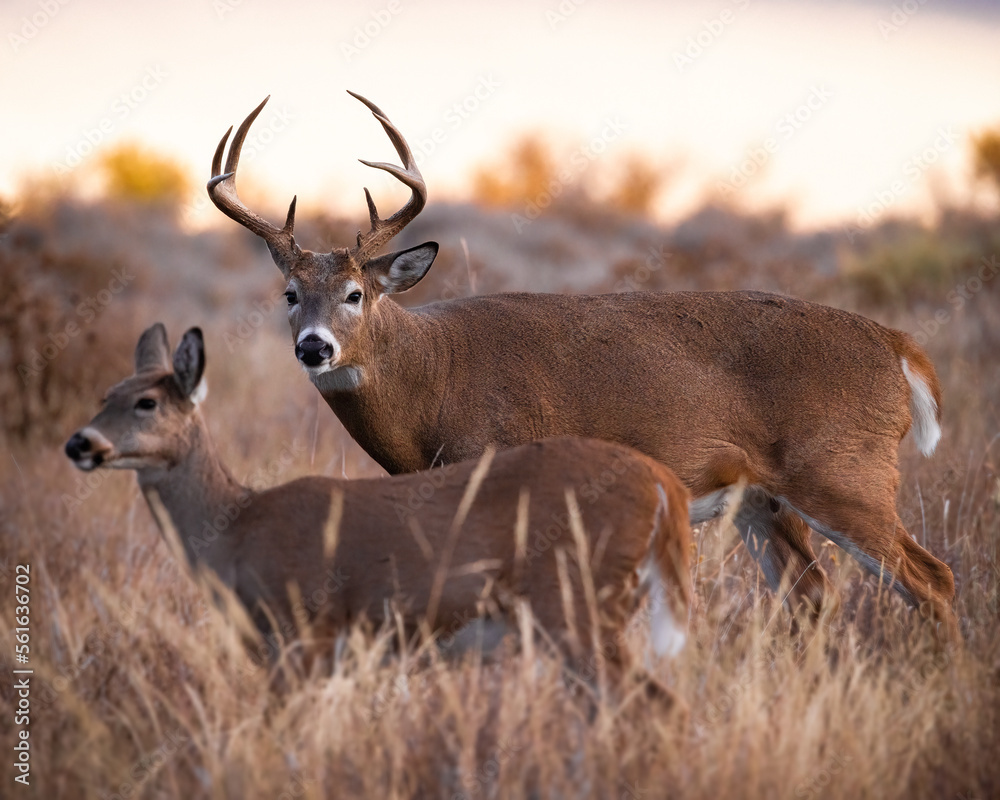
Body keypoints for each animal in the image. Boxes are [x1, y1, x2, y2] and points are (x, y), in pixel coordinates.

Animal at [64, 324, 693, 692]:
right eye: (105, 395)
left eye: (147, 403)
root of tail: (662, 485)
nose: (79, 443)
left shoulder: (303, 631)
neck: (236, 526)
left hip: (578, 601)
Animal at [206, 92, 958, 643]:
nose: (314, 347)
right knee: (813, 594)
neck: (433, 380)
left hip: (844, 472)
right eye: (290, 294)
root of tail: (899, 347)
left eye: (356, 294)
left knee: (932, 579)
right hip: (765, 500)